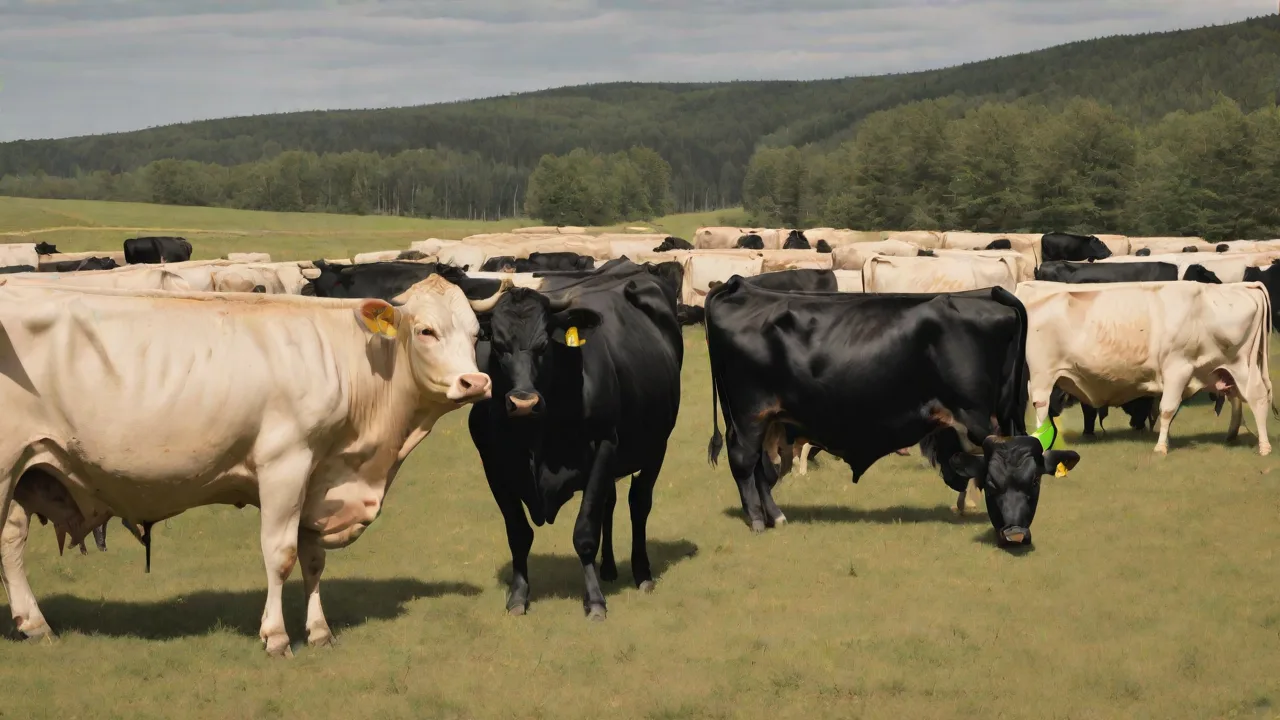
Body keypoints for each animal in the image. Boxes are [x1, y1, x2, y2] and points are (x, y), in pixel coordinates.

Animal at [0, 276, 500, 653]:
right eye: (426, 331)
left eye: (477, 335)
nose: (475, 382)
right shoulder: (286, 461)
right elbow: (280, 554)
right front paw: (276, 636)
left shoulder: (317, 479)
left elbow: (313, 559)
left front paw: (319, 631)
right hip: (6, 465)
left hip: (27, 471)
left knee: (11, 541)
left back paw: (34, 623)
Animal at [468, 266, 683, 620]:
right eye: (497, 346)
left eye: (544, 345)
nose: (523, 403)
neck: (536, 438)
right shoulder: (493, 463)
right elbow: (518, 533)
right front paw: (518, 595)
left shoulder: (604, 445)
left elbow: (584, 531)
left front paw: (594, 600)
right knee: (610, 503)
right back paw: (608, 568)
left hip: (656, 446)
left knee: (638, 503)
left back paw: (641, 572)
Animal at [704, 281, 1080, 546]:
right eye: (994, 484)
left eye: (1034, 482)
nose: (1016, 535)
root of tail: (739, 286)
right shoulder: (975, 416)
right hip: (750, 414)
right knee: (744, 462)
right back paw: (757, 520)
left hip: (767, 420)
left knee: (761, 469)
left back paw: (776, 517)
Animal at [1017, 281, 1273, 456]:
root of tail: (1241, 286)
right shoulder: (1178, 370)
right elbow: (1167, 409)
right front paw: (1163, 444)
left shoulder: (1178, 368)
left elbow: (1166, 409)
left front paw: (1160, 447)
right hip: (1041, 373)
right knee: (1041, 405)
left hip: (1240, 364)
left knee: (1256, 397)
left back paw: (1263, 445)